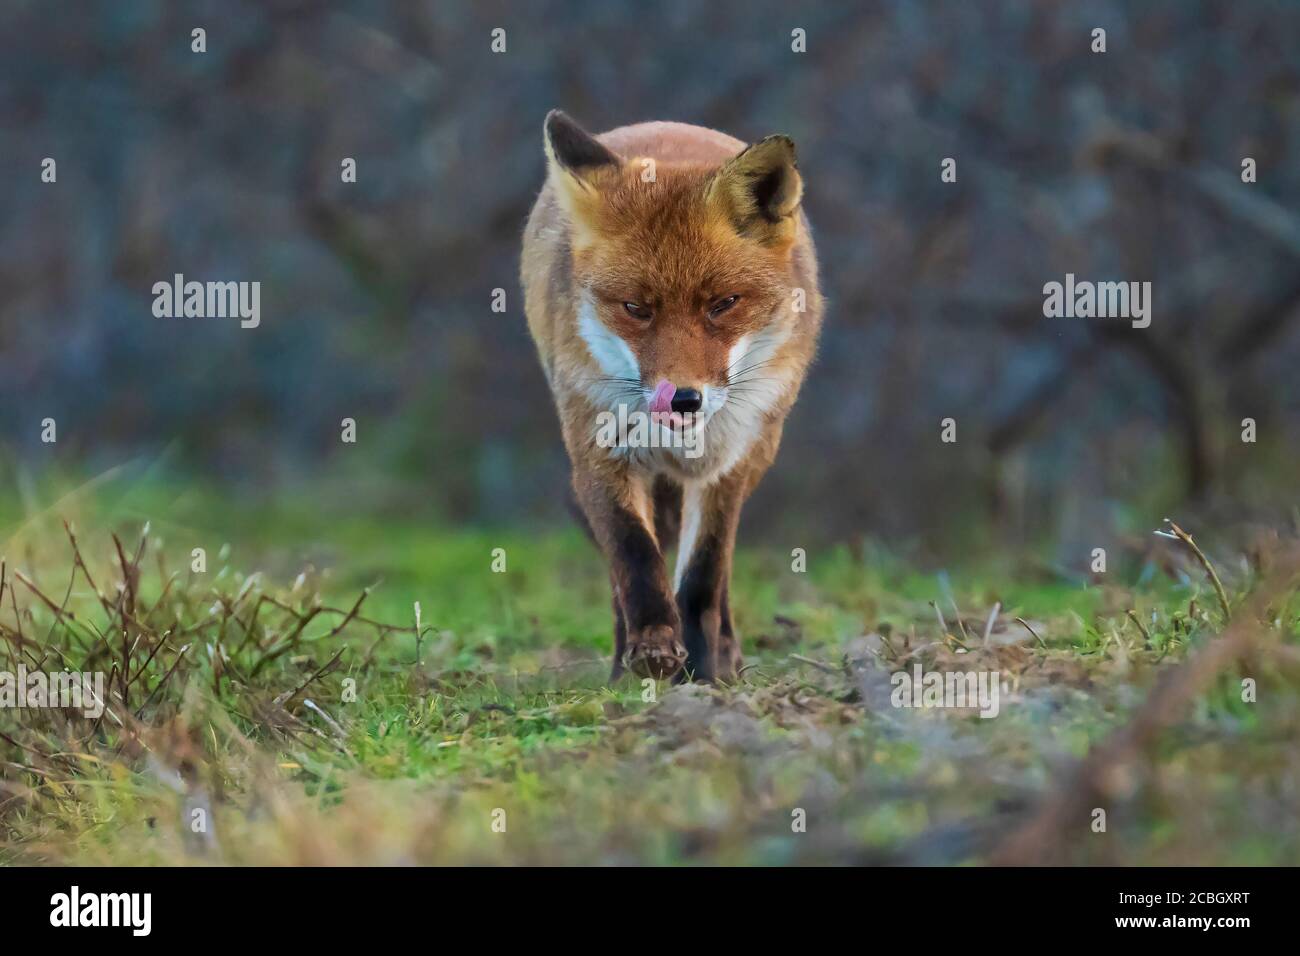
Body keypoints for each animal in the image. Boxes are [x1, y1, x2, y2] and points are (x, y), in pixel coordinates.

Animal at [521, 111, 824, 683]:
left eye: (724, 304)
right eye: (636, 309)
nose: (682, 400)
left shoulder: (728, 464)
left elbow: (705, 574)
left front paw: (705, 671)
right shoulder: (599, 452)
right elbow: (635, 557)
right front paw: (652, 647)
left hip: (759, 452)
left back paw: (724, 654)